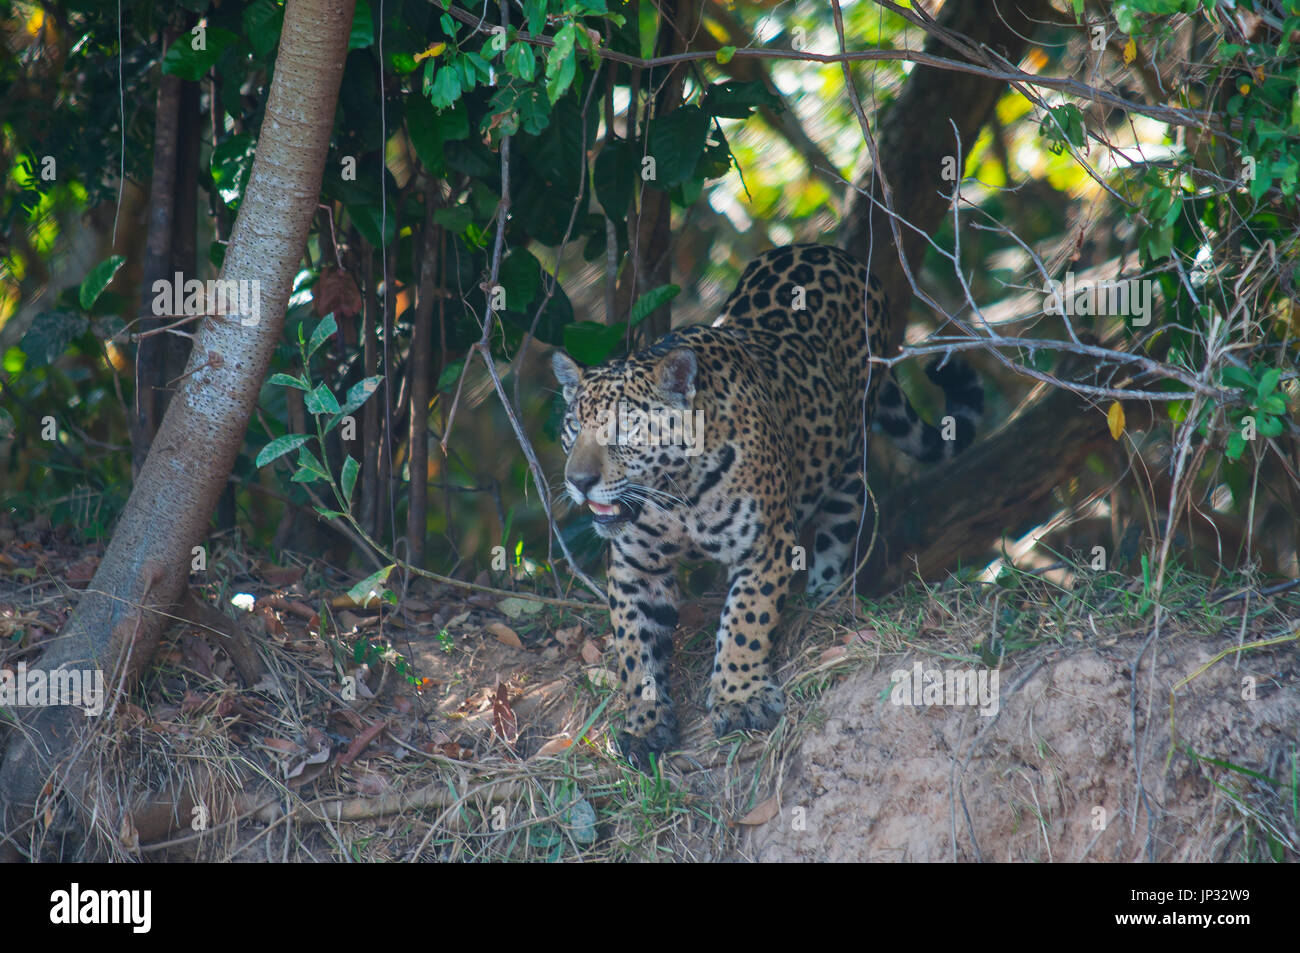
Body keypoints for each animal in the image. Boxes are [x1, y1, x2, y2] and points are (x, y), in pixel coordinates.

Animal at [550, 243, 982, 768]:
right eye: (574, 427)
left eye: (624, 428)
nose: (578, 481)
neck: (675, 494)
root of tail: (832, 251)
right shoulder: (636, 567)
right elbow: (635, 650)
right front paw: (644, 723)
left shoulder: (767, 544)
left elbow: (745, 619)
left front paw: (740, 698)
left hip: (849, 463)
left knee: (838, 532)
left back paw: (825, 598)